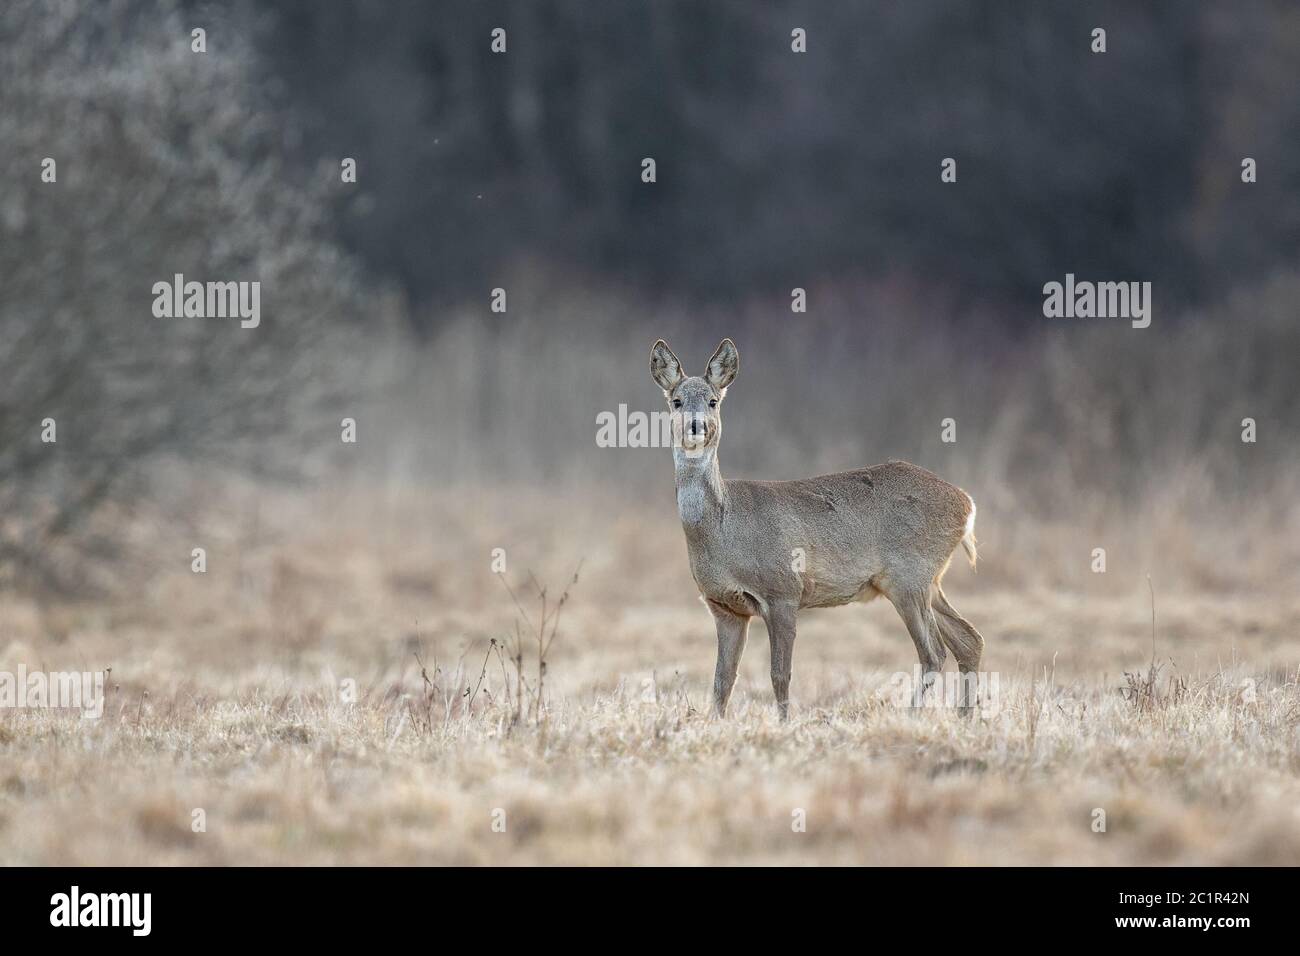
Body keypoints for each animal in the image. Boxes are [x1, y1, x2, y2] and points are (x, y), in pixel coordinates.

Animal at [649, 338, 986, 720]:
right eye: (676, 400)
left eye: (713, 400)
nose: (696, 426)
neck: (724, 525)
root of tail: (967, 503)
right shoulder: (724, 607)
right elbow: (722, 681)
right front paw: (715, 723)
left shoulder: (783, 591)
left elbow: (779, 674)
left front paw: (784, 723)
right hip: (929, 581)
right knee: (969, 639)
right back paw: (964, 718)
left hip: (909, 576)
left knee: (934, 652)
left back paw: (912, 715)